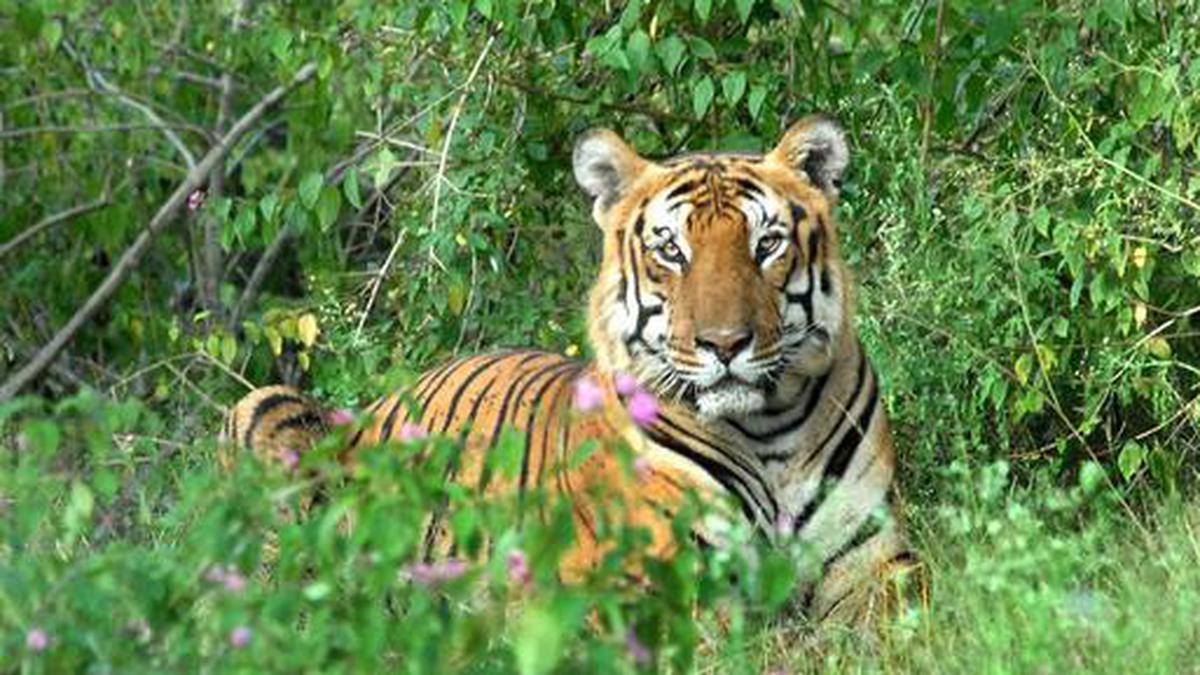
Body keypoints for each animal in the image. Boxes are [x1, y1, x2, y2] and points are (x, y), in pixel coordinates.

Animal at [223, 115, 920, 624]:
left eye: (766, 244)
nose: (725, 343)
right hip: (263, 411)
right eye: (672, 250)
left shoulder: (877, 563)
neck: (767, 433)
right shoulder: (646, 586)